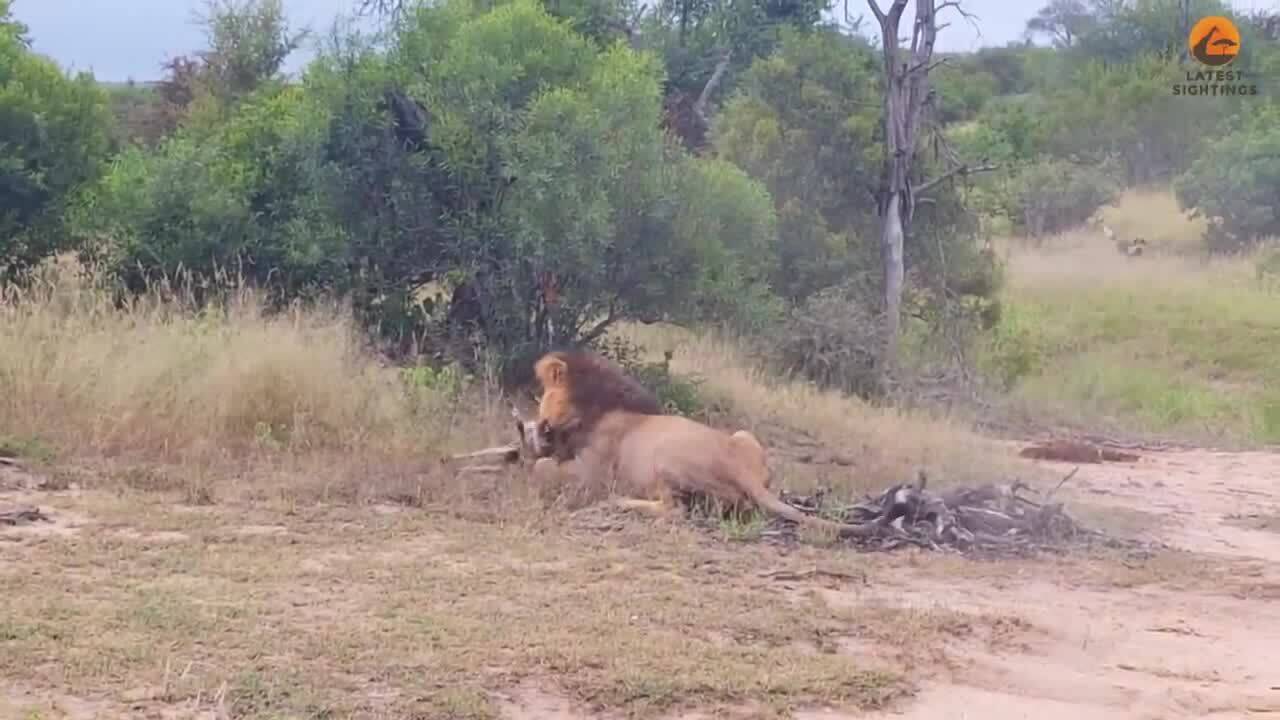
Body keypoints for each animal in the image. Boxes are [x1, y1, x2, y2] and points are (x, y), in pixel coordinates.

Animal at [531, 351, 877, 539]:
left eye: (543, 394)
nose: (539, 424)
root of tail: (739, 467)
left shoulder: (592, 477)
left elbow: (543, 467)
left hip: (663, 458)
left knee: (675, 510)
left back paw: (617, 504)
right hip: (743, 436)